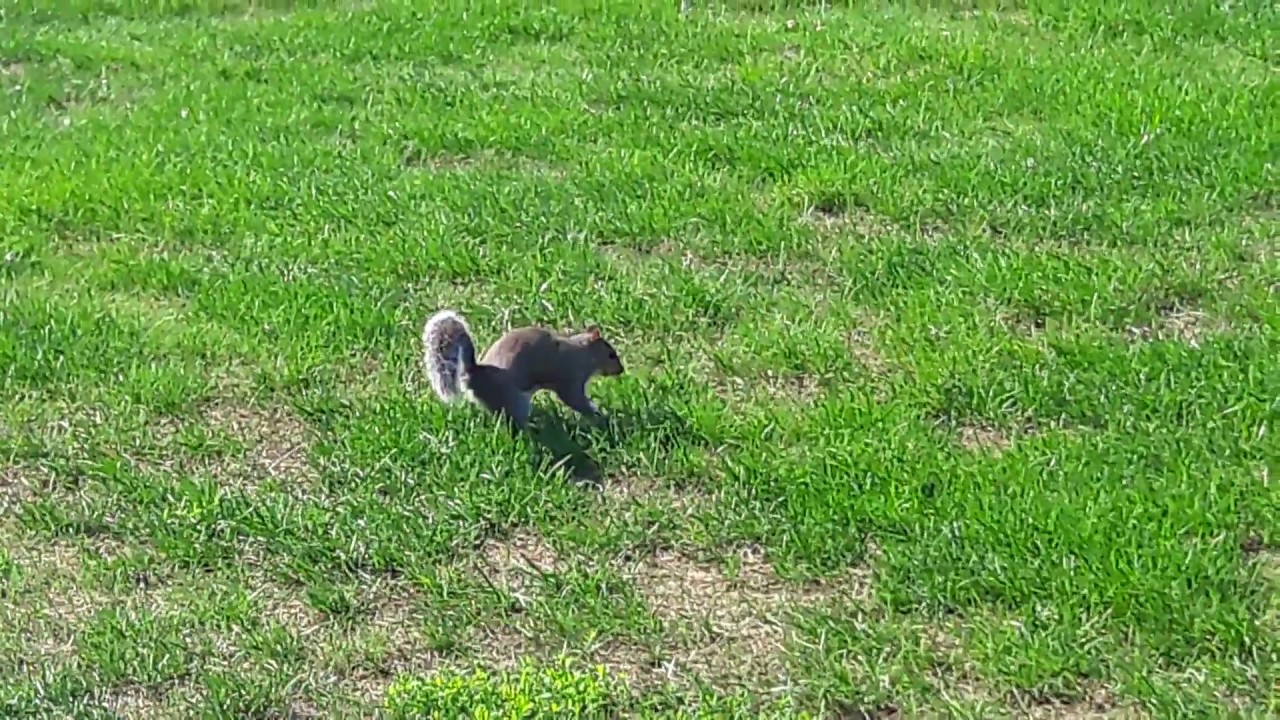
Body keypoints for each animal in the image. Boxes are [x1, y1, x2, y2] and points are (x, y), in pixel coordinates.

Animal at [421, 309, 625, 429]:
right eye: (611, 355)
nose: (621, 370)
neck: (582, 352)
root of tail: (472, 376)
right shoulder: (569, 379)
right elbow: (575, 399)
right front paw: (598, 414)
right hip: (515, 399)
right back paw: (531, 428)